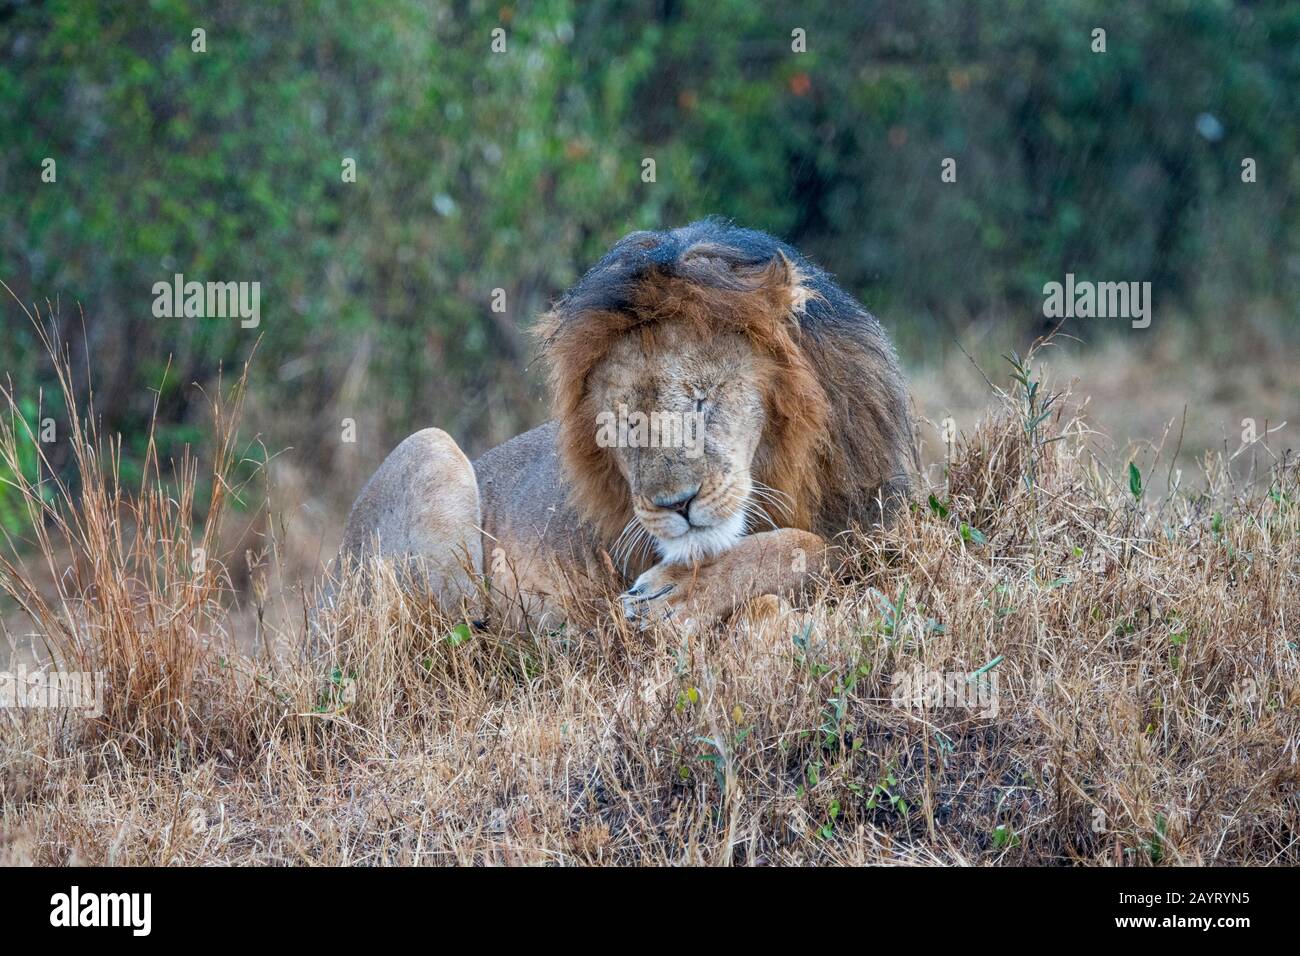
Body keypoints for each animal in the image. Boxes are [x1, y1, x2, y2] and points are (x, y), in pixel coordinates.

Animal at [336, 218, 918, 630]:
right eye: (623, 425)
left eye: (702, 399)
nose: (676, 505)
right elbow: (801, 548)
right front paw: (677, 595)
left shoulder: (884, 525)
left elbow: (815, 547)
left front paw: (682, 594)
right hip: (428, 446)